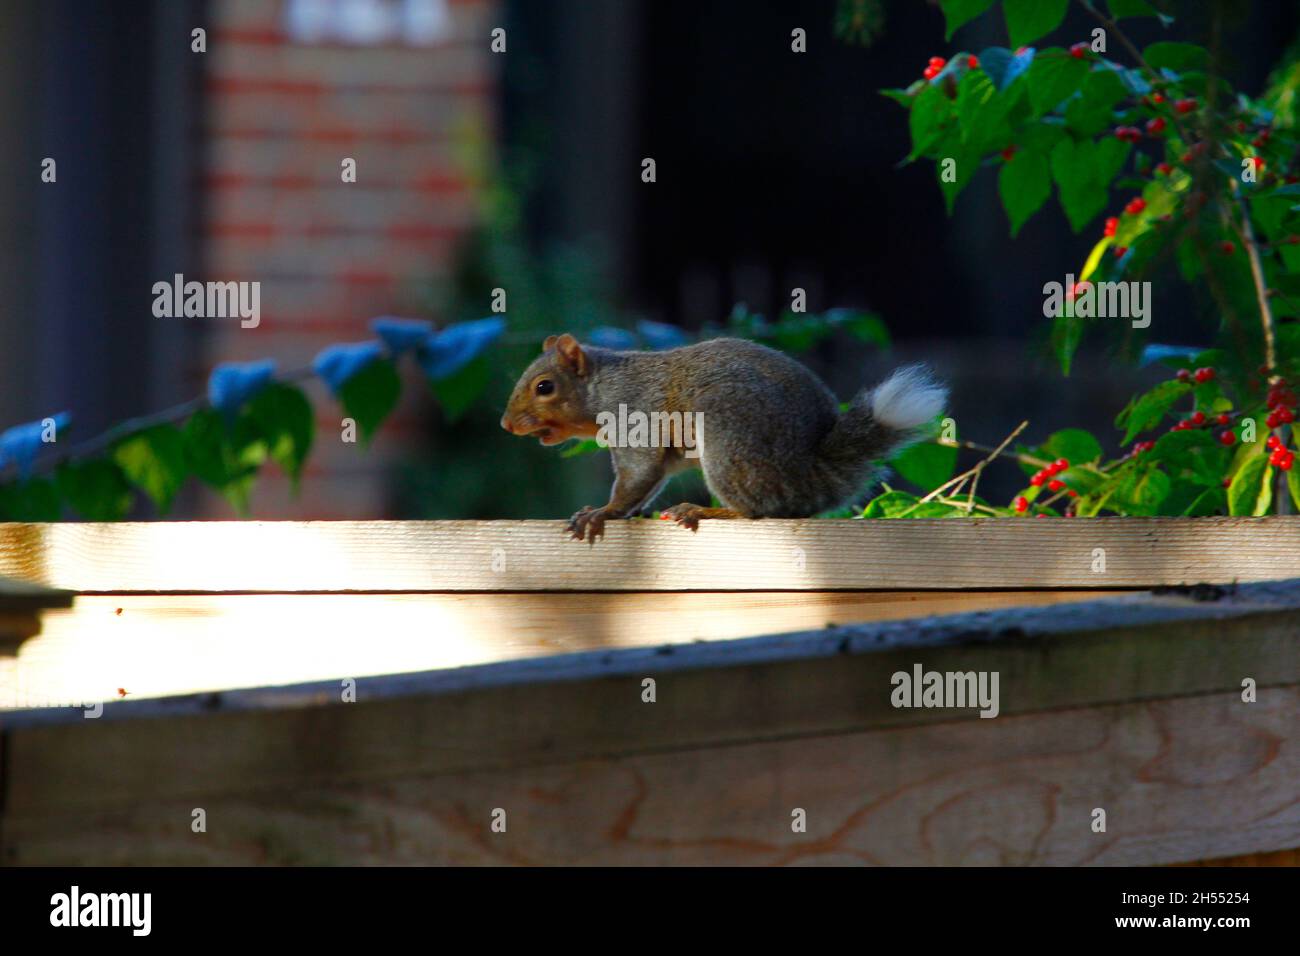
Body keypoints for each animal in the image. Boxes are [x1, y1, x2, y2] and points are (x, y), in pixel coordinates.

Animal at [501, 333, 947, 541]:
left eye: (544, 387)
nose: (506, 425)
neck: (605, 388)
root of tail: (809, 467)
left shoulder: (635, 419)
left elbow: (637, 476)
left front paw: (603, 512)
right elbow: (648, 482)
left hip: (726, 432)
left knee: (760, 510)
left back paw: (706, 510)